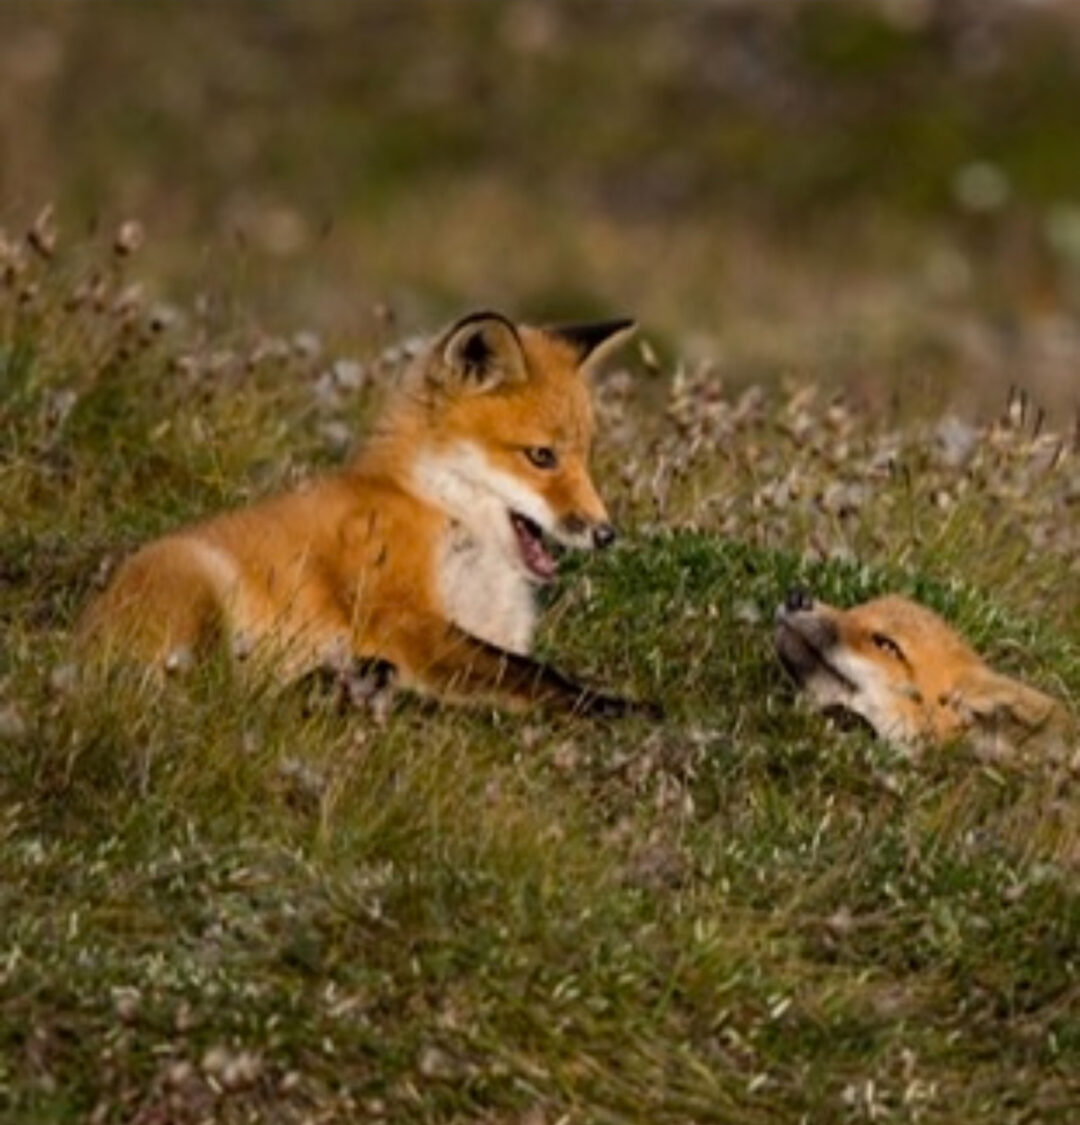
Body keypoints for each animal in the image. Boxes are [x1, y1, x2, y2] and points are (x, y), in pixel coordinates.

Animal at [78, 310, 658, 719]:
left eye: (585, 455)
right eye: (541, 456)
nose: (606, 533)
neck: (434, 506)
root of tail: (76, 642)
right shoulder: (402, 618)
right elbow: (533, 674)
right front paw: (617, 709)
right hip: (207, 596)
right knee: (222, 701)